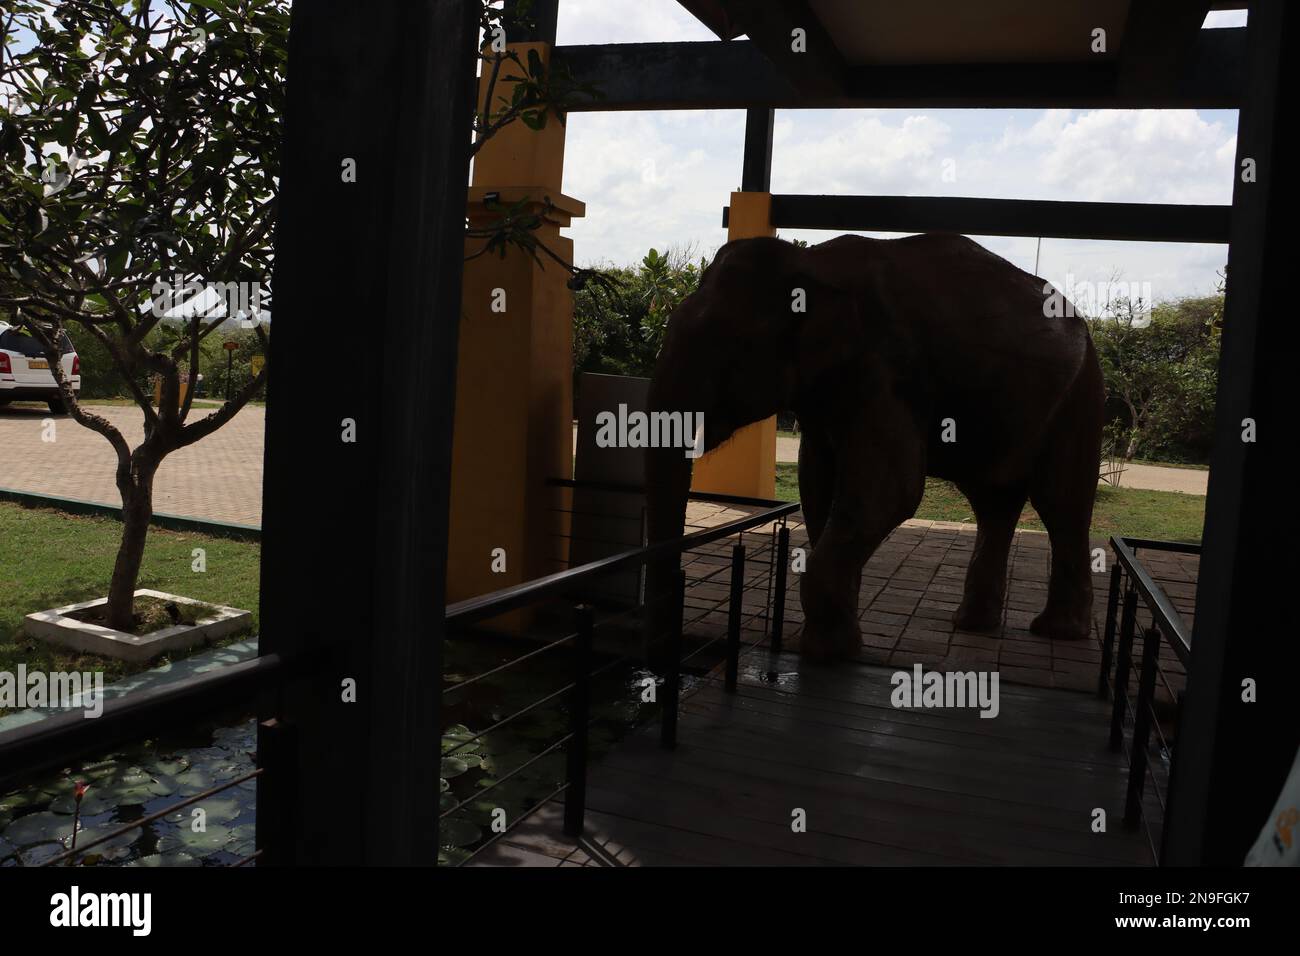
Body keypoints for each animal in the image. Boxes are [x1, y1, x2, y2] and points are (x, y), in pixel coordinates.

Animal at [644, 233, 1104, 662]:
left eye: (730, 348)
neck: (810, 262)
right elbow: (817, 483)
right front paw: (836, 641)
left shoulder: (883, 367)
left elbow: (891, 490)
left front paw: (827, 654)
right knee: (994, 502)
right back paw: (973, 624)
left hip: (1081, 394)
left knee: (1061, 502)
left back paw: (1057, 632)